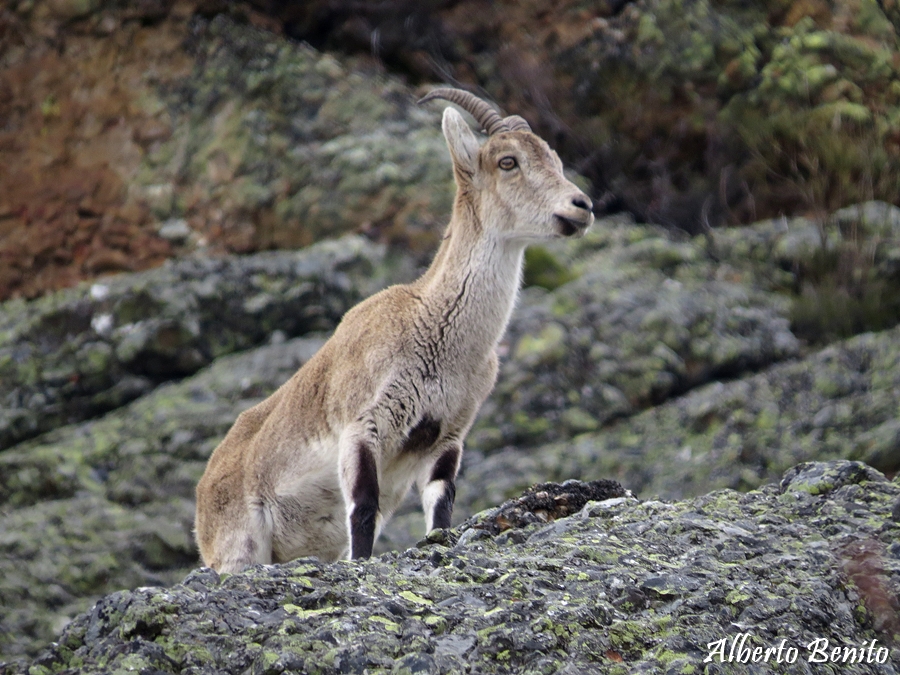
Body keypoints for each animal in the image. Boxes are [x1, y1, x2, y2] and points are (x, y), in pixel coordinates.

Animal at [194, 88, 594, 572]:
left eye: (553, 158)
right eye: (508, 161)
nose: (581, 207)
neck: (434, 330)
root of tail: (203, 491)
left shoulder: (448, 436)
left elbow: (441, 507)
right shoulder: (362, 426)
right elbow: (364, 507)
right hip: (240, 547)